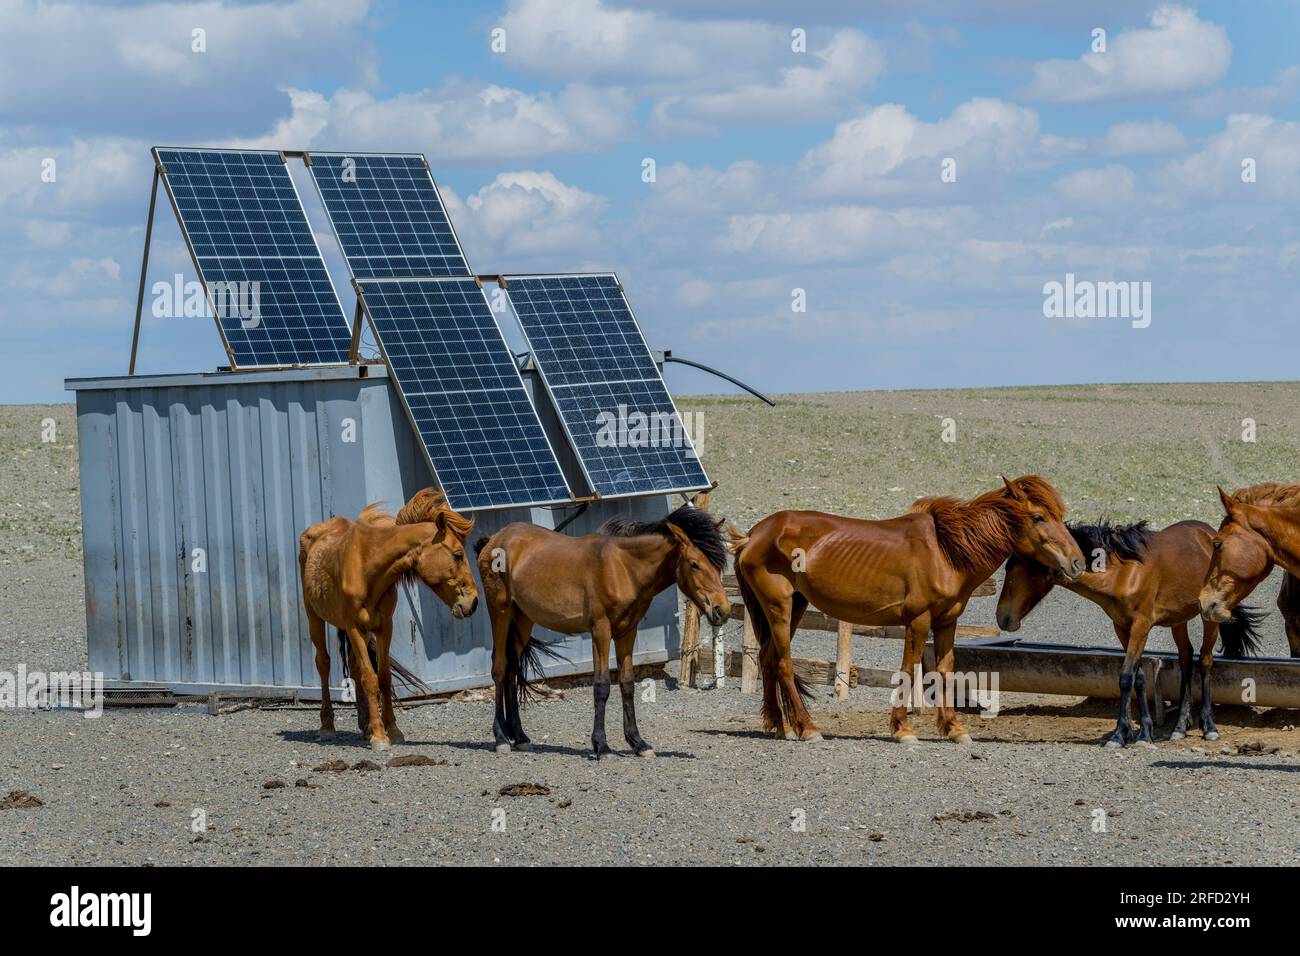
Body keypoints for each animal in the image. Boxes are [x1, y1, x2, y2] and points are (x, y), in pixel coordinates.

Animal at [299, 488, 478, 750]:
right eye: (457, 555)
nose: (473, 602)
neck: (367, 570)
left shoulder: (384, 627)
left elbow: (382, 677)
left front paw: (390, 730)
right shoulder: (354, 627)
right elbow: (370, 678)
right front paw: (379, 737)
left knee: (354, 668)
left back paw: (365, 725)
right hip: (315, 617)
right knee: (323, 663)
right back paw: (327, 726)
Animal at [475, 504, 729, 759]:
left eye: (718, 564)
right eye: (694, 563)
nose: (722, 610)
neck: (623, 568)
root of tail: (494, 539)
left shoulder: (627, 632)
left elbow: (627, 684)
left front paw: (638, 743)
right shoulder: (601, 631)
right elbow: (602, 686)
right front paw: (602, 746)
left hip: (522, 620)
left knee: (511, 671)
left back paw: (519, 737)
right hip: (501, 613)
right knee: (499, 669)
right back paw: (501, 738)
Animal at [731, 475, 1085, 745]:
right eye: (1038, 517)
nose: (1078, 562)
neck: (945, 551)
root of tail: (754, 535)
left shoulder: (946, 622)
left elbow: (945, 670)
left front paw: (954, 729)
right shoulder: (918, 621)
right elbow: (907, 669)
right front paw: (903, 729)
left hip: (796, 605)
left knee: (768, 659)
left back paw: (780, 725)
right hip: (780, 606)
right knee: (784, 663)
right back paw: (808, 728)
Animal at [996, 519, 1263, 747]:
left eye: (1016, 570)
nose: (1002, 617)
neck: (1123, 573)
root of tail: (1207, 533)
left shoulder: (1140, 627)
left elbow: (1125, 677)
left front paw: (1119, 735)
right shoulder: (1122, 627)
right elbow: (1138, 677)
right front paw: (1140, 731)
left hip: (1208, 619)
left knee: (1205, 661)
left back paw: (1209, 726)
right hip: (1179, 619)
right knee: (1186, 659)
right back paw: (1179, 727)